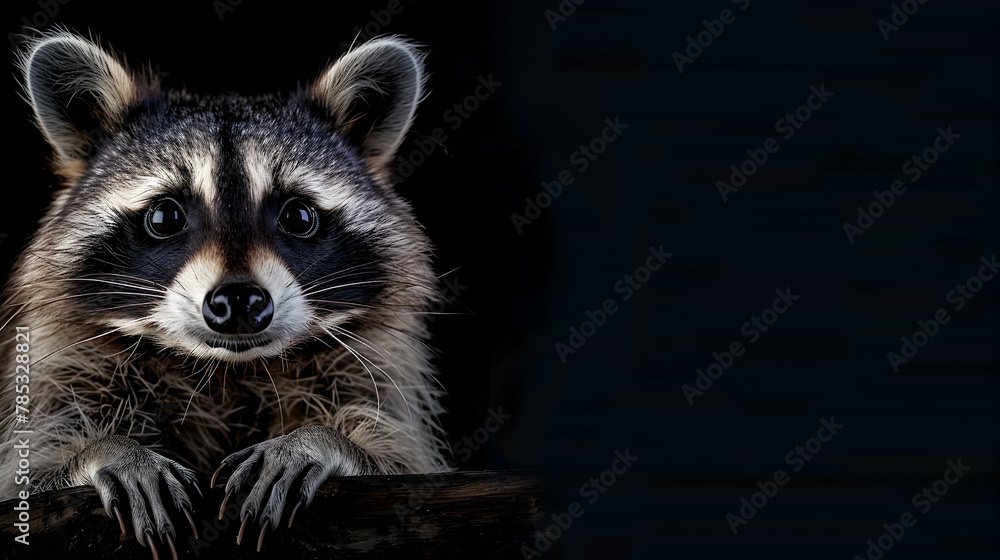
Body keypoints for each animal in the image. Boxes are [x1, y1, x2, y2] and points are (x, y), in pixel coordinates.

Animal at [0, 30, 451, 556]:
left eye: (298, 216)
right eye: (165, 216)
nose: (239, 301)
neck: (225, 372)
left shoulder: (374, 369)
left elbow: (402, 463)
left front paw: (321, 439)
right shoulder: (69, 367)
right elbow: (30, 474)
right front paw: (108, 449)